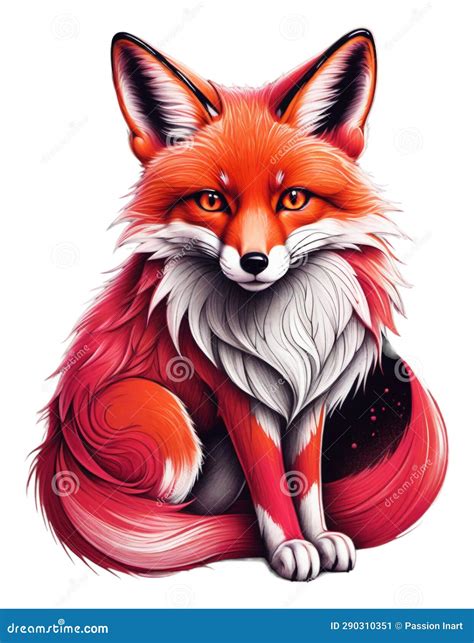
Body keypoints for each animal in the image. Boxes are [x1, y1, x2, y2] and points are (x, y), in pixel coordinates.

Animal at [32, 29, 447, 581]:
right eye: (212, 201)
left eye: (293, 199)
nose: (254, 262)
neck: (282, 327)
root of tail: (53, 449)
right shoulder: (239, 397)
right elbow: (271, 485)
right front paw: (289, 546)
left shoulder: (311, 396)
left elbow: (306, 482)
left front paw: (319, 538)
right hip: (168, 427)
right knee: (165, 507)